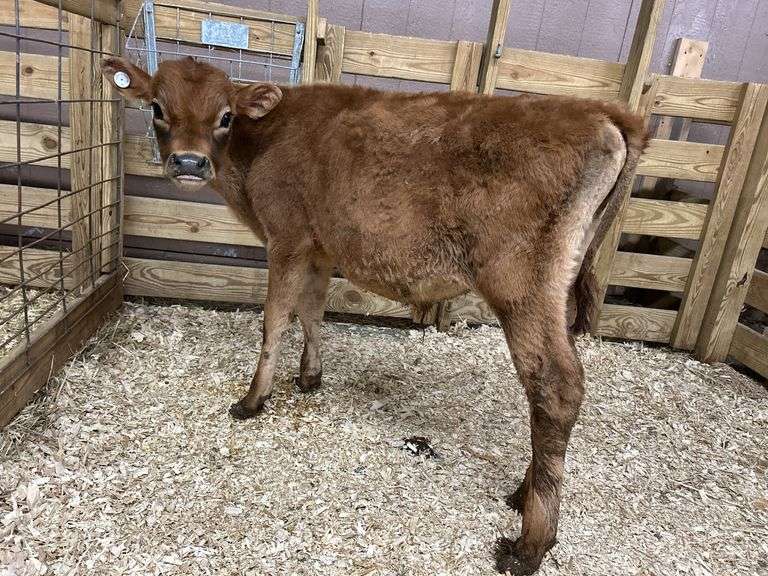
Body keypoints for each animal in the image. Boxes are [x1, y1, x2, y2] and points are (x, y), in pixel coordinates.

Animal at [102, 55, 647, 575]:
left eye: (225, 116)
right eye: (158, 108)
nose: (188, 162)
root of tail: (603, 113)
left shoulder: (287, 238)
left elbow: (275, 320)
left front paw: (253, 400)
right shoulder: (319, 248)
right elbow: (312, 312)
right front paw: (309, 377)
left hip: (521, 281)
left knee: (555, 386)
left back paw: (529, 546)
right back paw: (521, 493)